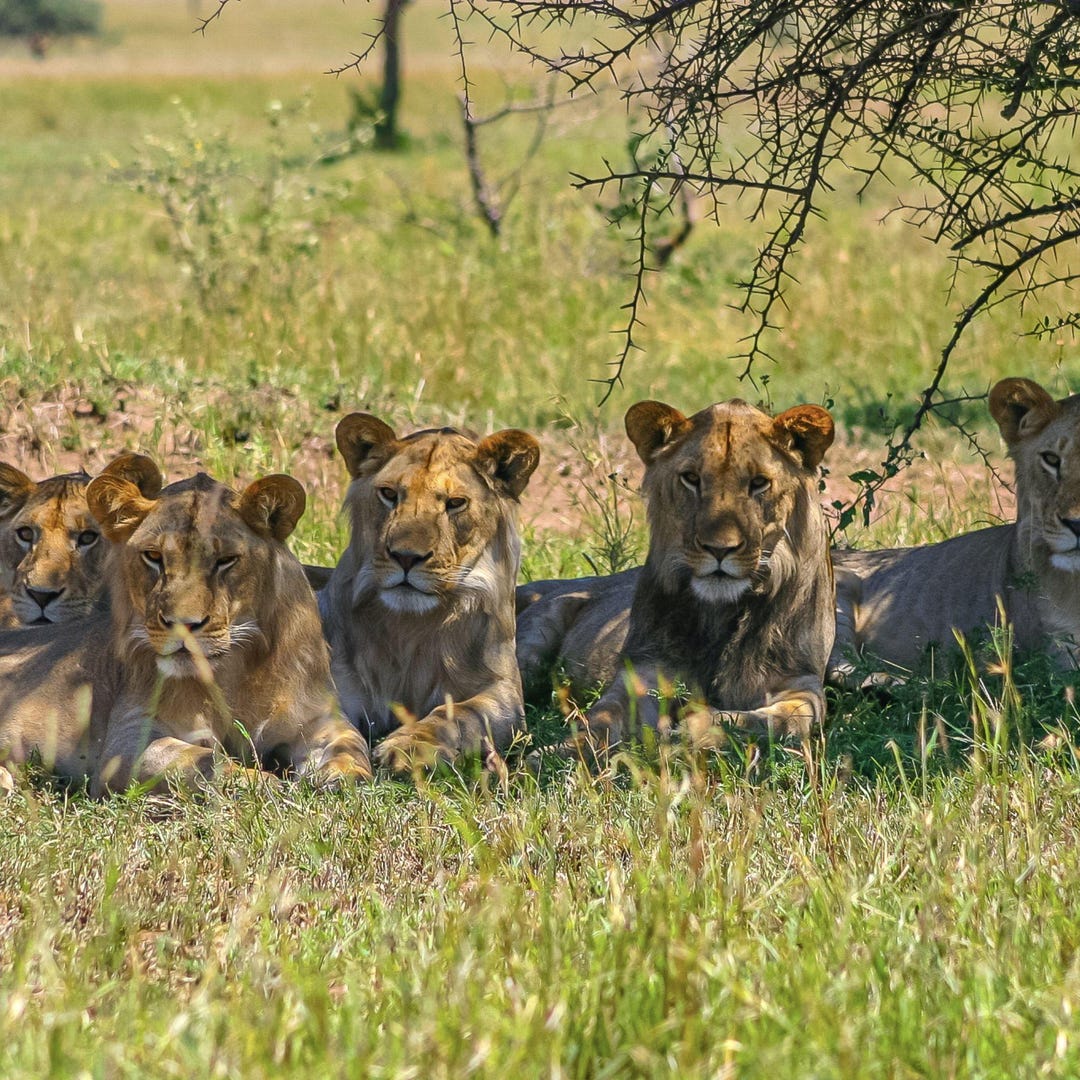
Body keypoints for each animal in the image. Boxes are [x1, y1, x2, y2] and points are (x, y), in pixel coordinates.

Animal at [319, 414, 540, 773]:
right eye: (389, 494)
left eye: (455, 503)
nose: (406, 557)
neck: (412, 628)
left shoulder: (503, 692)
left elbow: (459, 713)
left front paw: (410, 745)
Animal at [520, 397, 836, 754]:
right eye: (691, 478)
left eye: (758, 483)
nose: (719, 548)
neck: (720, 615)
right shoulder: (643, 675)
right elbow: (599, 721)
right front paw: (557, 755)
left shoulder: (801, 684)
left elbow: (780, 721)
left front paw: (694, 728)